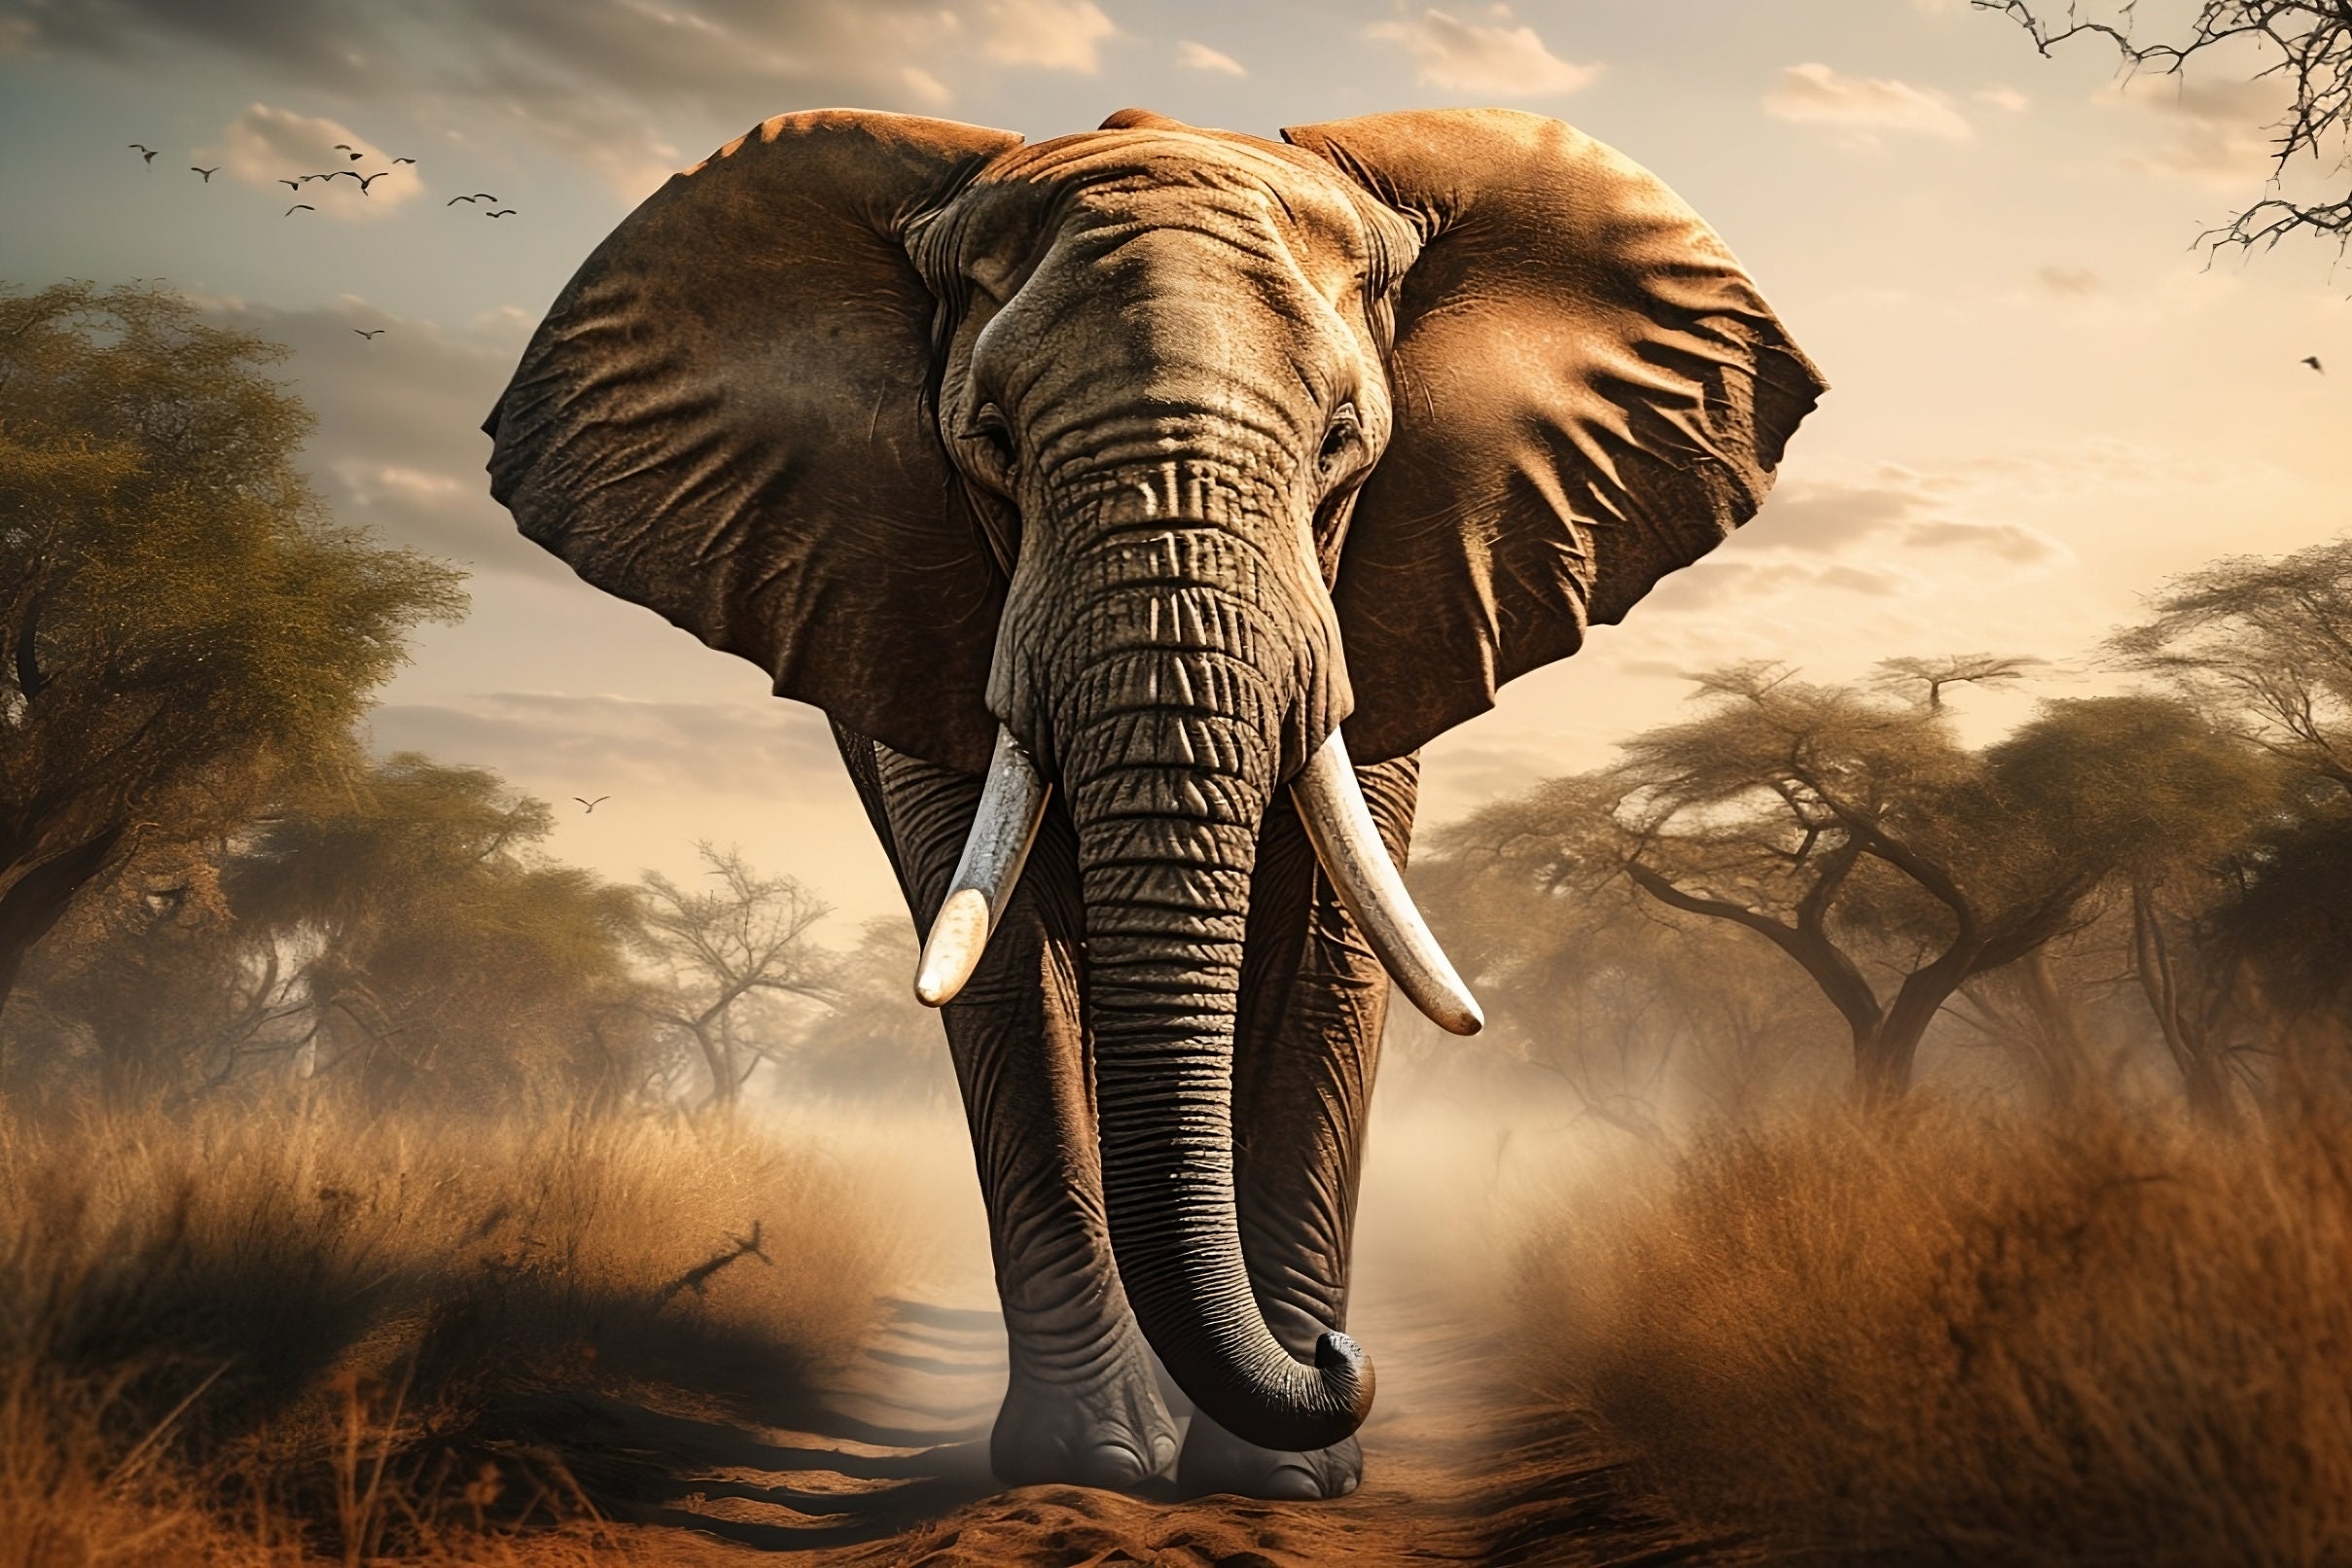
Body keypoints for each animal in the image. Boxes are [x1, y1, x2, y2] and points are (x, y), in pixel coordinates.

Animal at [483, 105, 1823, 1499]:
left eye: (1343, 443)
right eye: (992, 444)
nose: (1343, 1359)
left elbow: (1330, 949)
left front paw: (1278, 1482)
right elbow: (1008, 965)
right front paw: (1091, 1466)